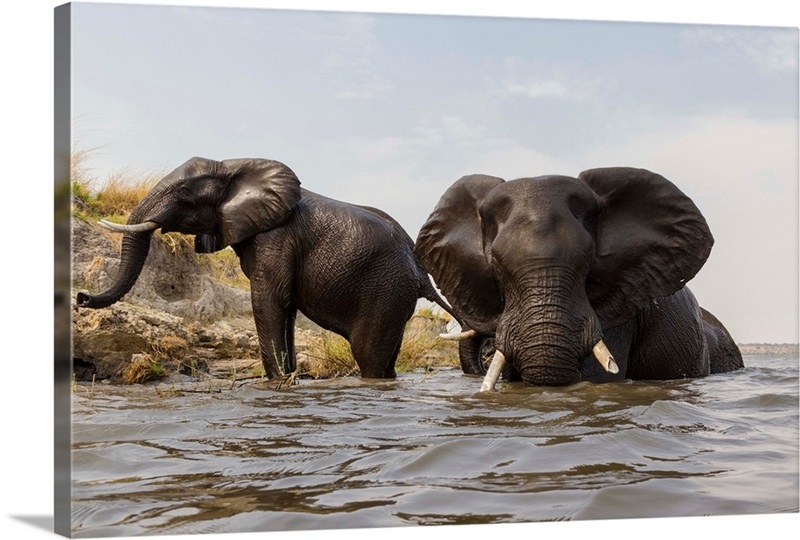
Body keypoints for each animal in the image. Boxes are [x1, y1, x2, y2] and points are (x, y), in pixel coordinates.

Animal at [77, 157, 456, 379]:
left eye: (184, 192)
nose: (81, 297)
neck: (232, 166)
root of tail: (420, 271)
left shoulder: (276, 237)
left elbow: (268, 301)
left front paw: (277, 382)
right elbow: (284, 309)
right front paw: (288, 378)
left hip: (384, 288)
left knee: (367, 353)